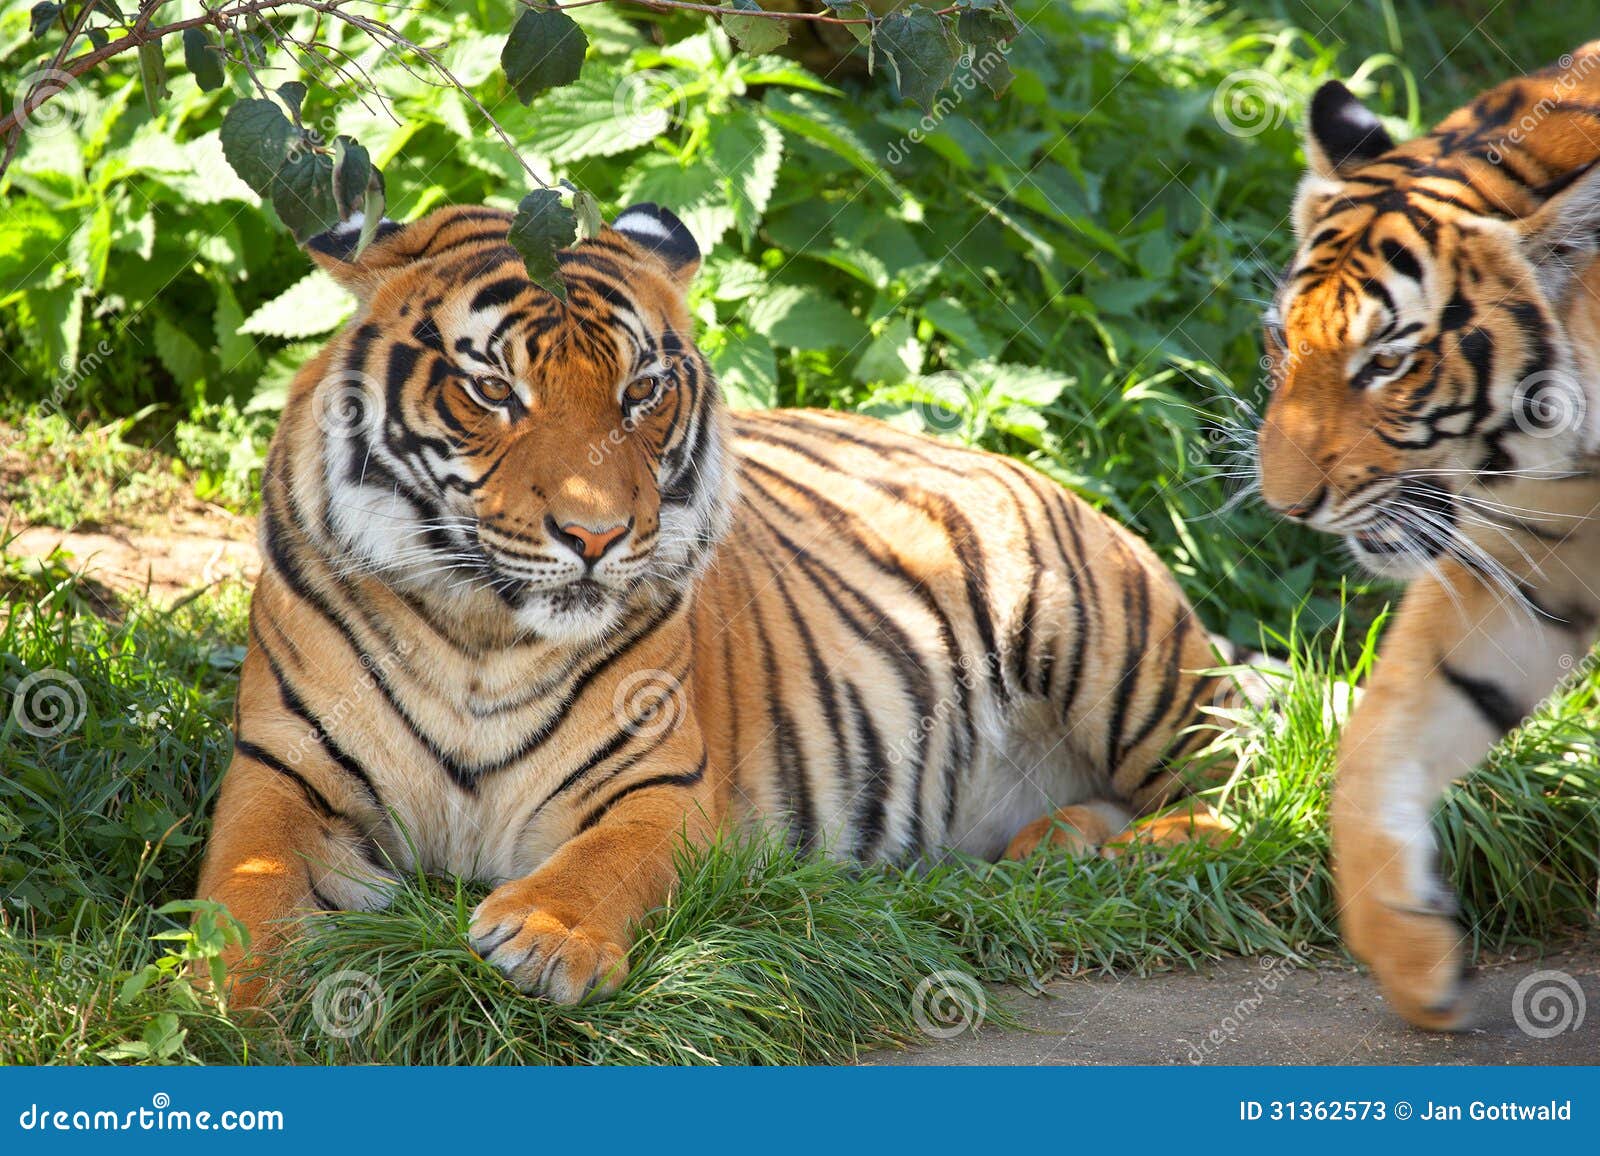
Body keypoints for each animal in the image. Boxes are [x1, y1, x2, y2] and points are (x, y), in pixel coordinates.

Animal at [197, 200, 1250, 1006]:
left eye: (642, 391)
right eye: (492, 389)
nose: (596, 536)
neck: (480, 634)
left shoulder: (660, 783)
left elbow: (609, 862)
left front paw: (543, 937)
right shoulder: (278, 768)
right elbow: (245, 885)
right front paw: (229, 993)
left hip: (1112, 648)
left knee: (1235, 790)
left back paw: (1135, 853)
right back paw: (1052, 848)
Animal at [1256, 45, 1600, 1030]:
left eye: (1389, 361)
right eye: (1279, 341)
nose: (1287, 505)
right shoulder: (1531, 558)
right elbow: (1383, 732)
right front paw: (1412, 951)